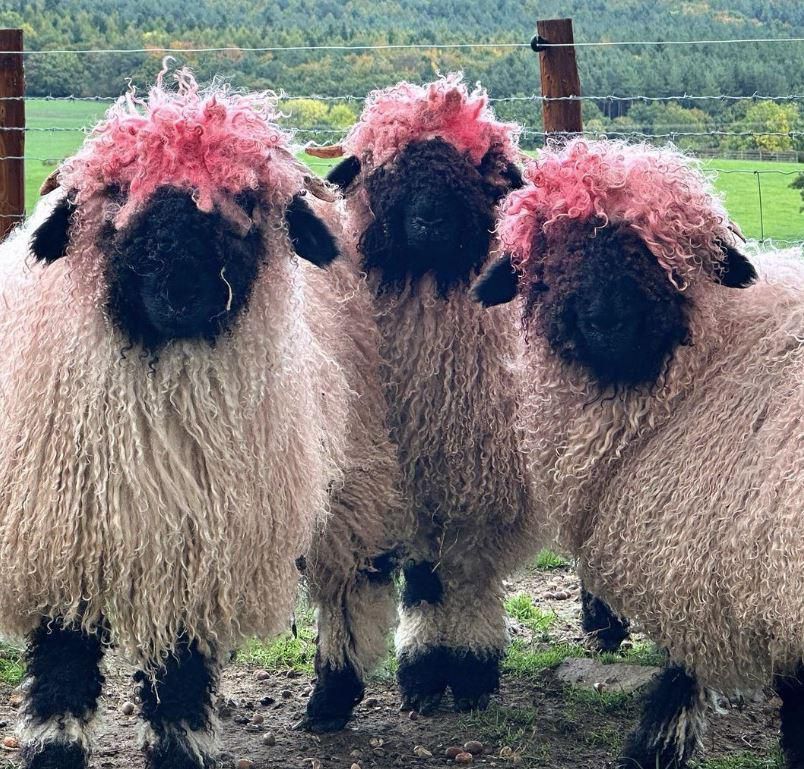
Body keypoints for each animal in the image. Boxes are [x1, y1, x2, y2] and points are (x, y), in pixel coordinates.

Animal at [0, 67, 399, 769]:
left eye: (245, 202)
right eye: (118, 196)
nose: (184, 292)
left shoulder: (202, 541)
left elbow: (181, 662)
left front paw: (181, 744)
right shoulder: (61, 533)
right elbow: (63, 654)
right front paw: (54, 744)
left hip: (356, 469)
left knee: (354, 581)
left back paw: (332, 695)